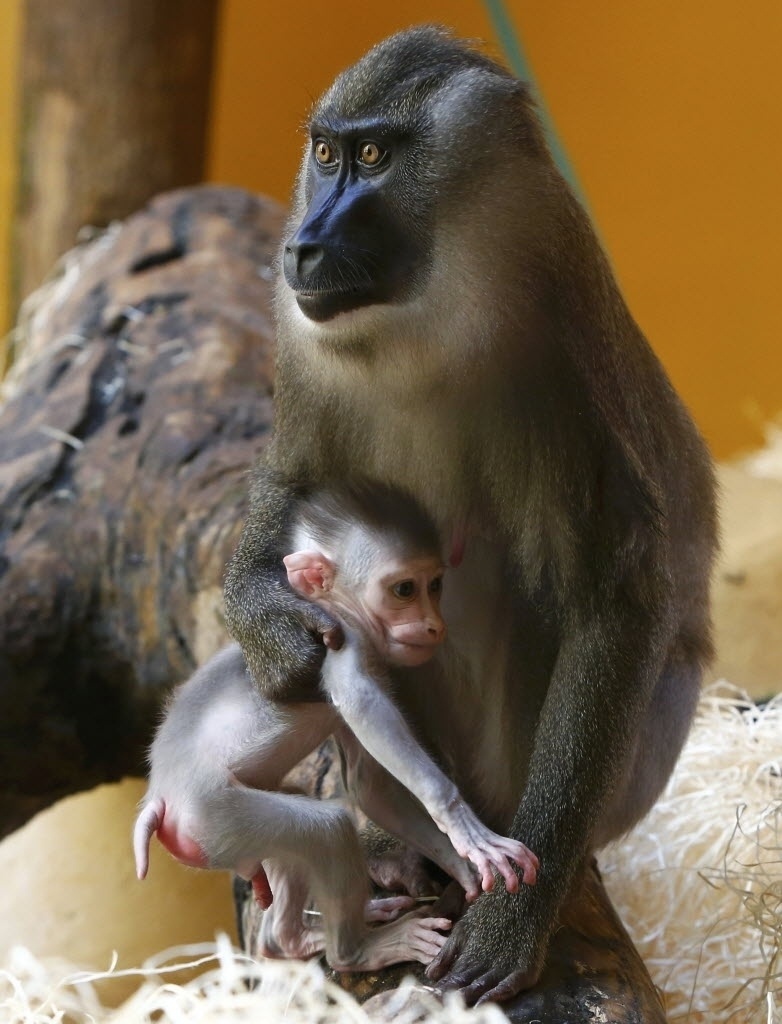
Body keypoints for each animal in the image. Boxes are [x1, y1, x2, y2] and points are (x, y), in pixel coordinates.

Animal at [134, 481, 538, 972]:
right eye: (405, 589)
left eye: (435, 585)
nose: (433, 625)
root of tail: (160, 798)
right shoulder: (342, 638)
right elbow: (363, 707)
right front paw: (468, 830)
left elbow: (372, 787)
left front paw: (462, 869)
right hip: (211, 818)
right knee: (324, 830)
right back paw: (361, 949)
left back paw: (293, 939)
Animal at [223, 26, 717, 1005]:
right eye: (326, 153)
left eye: (376, 158)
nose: (305, 244)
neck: (421, 322)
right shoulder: (304, 350)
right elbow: (291, 483)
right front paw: (274, 634)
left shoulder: (560, 366)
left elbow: (615, 602)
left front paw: (514, 920)